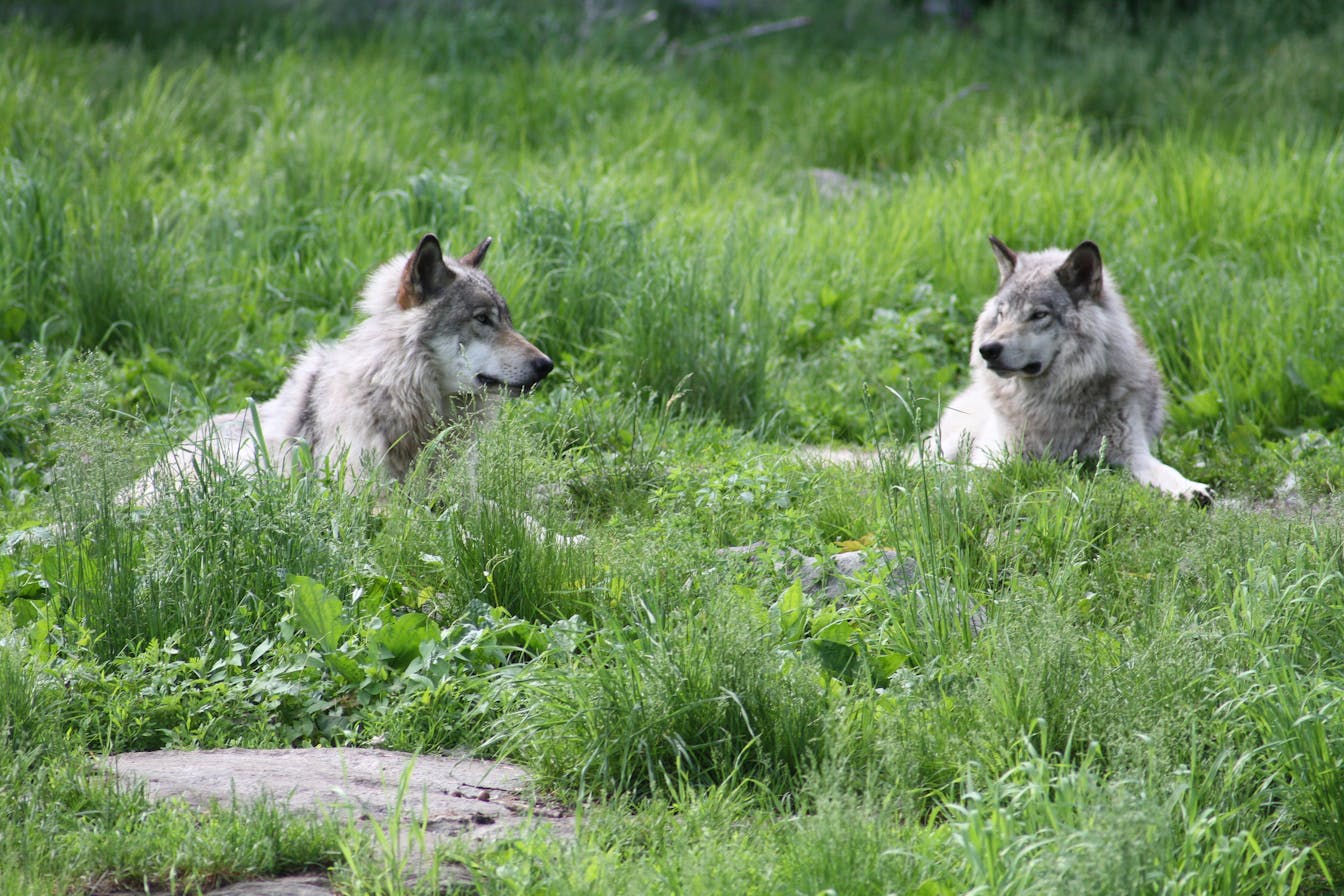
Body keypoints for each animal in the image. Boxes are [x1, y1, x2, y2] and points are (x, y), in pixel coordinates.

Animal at [920, 237, 1212, 505]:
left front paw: (1190, 488)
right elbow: (985, 474)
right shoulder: (1002, 454)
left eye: (1039, 315)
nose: (987, 349)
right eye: (1002, 314)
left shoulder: (1134, 453)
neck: (1054, 398)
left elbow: (1166, 471)